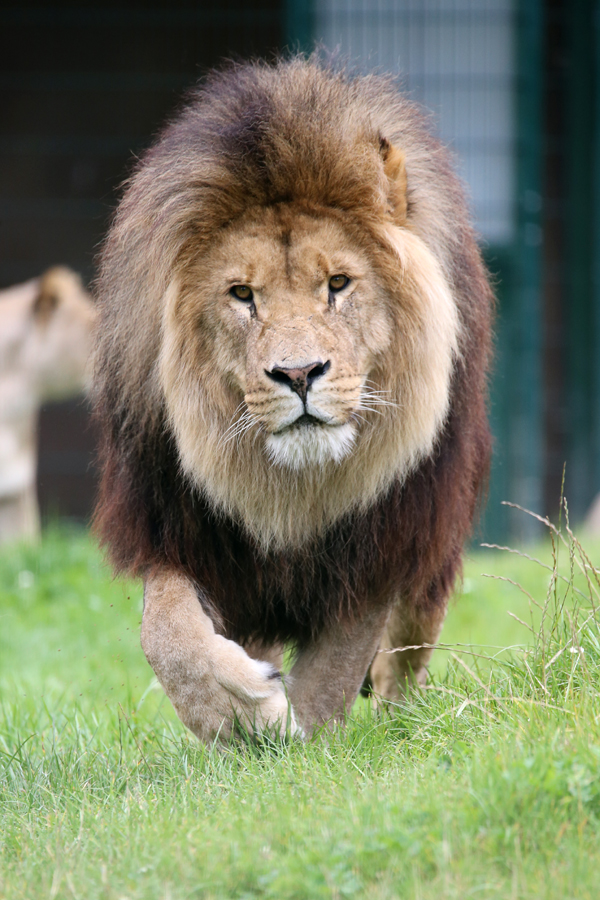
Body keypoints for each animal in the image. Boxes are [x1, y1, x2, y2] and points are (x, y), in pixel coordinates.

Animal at [93, 58, 492, 742]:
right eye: (241, 294)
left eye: (338, 283)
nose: (300, 373)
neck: (295, 490)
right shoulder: (181, 524)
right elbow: (166, 631)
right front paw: (237, 713)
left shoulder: (380, 544)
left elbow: (333, 672)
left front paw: (303, 739)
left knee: (406, 651)